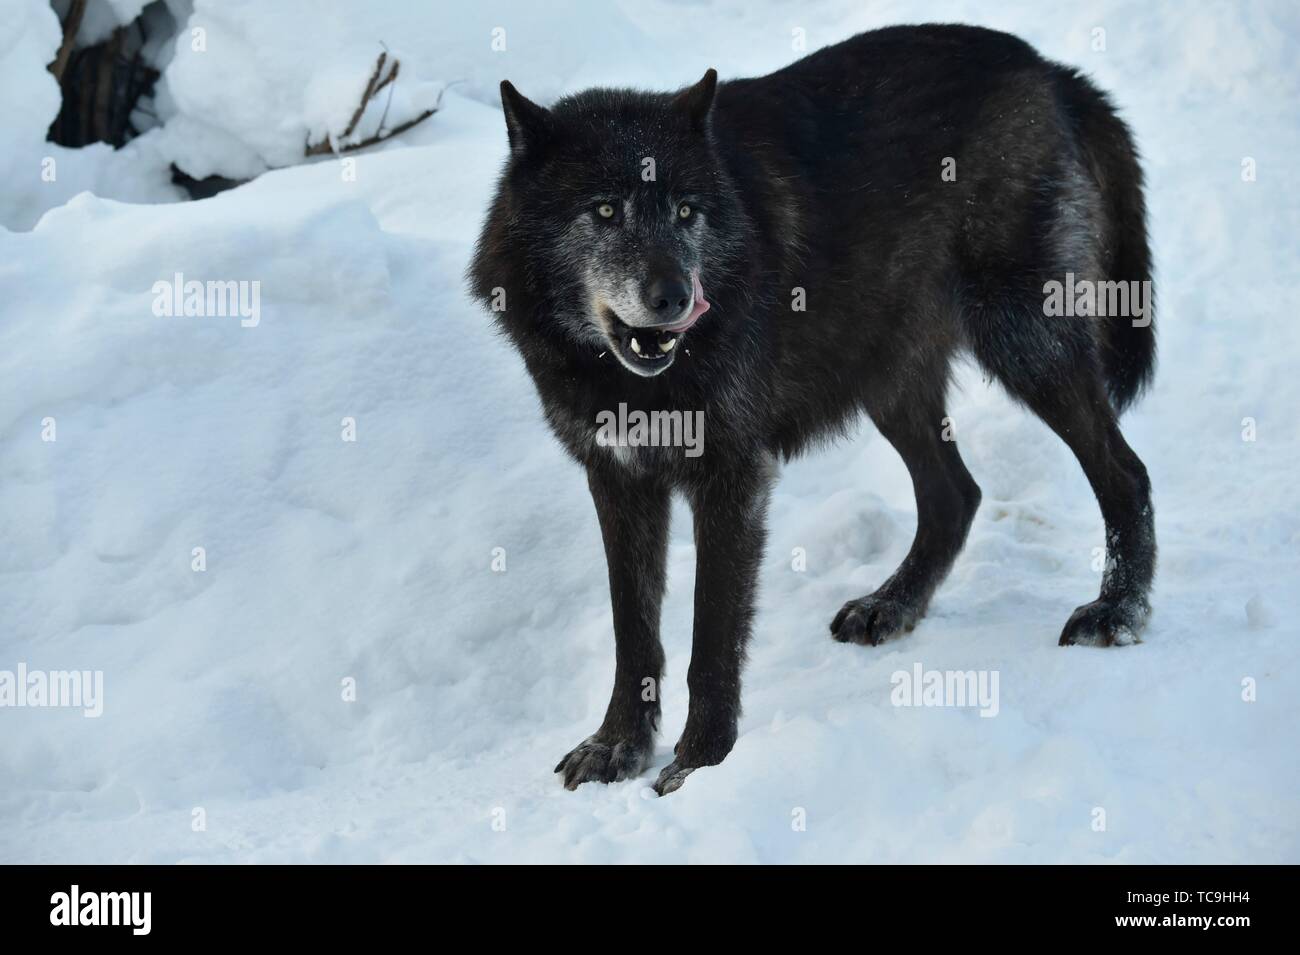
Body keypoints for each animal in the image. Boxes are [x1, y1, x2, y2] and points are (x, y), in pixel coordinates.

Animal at [469, 24, 1155, 795]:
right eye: (605, 210)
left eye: (685, 211)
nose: (676, 296)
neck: (632, 379)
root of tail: (1050, 69)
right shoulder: (618, 479)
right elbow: (634, 634)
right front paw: (618, 746)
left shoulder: (732, 480)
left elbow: (711, 637)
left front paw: (699, 761)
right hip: (890, 383)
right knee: (957, 494)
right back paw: (892, 604)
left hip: (1025, 345)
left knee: (1124, 473)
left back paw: (1116, 613)